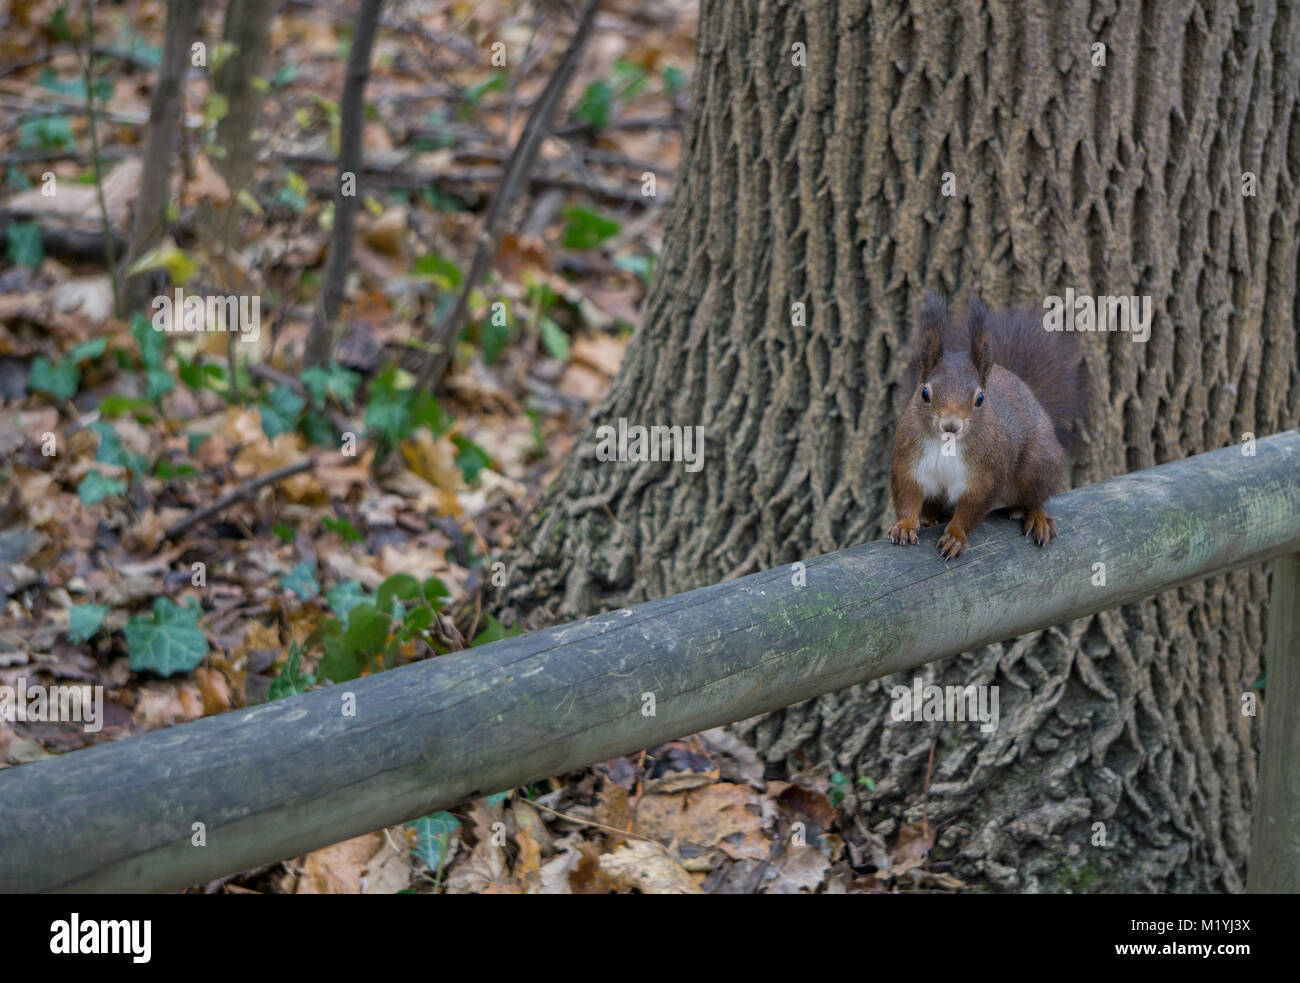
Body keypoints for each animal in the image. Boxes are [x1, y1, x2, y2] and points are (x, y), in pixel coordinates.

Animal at [887, 292, 1086, 560]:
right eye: (924, 393)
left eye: (980, 398)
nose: (950, 425)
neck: (946, 446)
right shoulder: (908, 463)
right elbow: (907, 495)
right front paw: (905, 526)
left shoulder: (986, 477)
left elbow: (971, 510)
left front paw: (955, 536)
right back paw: (929, 518)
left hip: (1038, 464)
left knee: (1035, 497)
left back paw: (1037, 517)